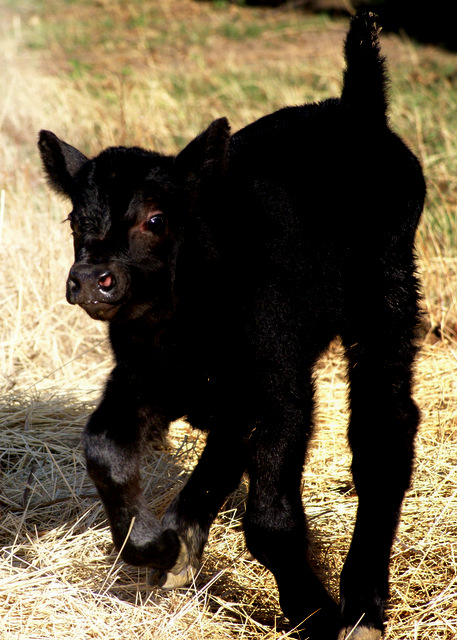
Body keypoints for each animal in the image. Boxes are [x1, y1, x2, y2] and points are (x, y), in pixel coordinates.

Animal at [38, 11, 424, 640]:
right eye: (75, 218)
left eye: (156, 219)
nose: (92, 279)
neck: (183, 326)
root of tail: (353, 108)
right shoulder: (144, 374)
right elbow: (103, 449)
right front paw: (153, 547)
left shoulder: (282, 388)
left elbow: (269, 519)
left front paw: (316, 615)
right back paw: (181, 538)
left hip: (386, 295)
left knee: (384, 424)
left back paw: (364, 604)